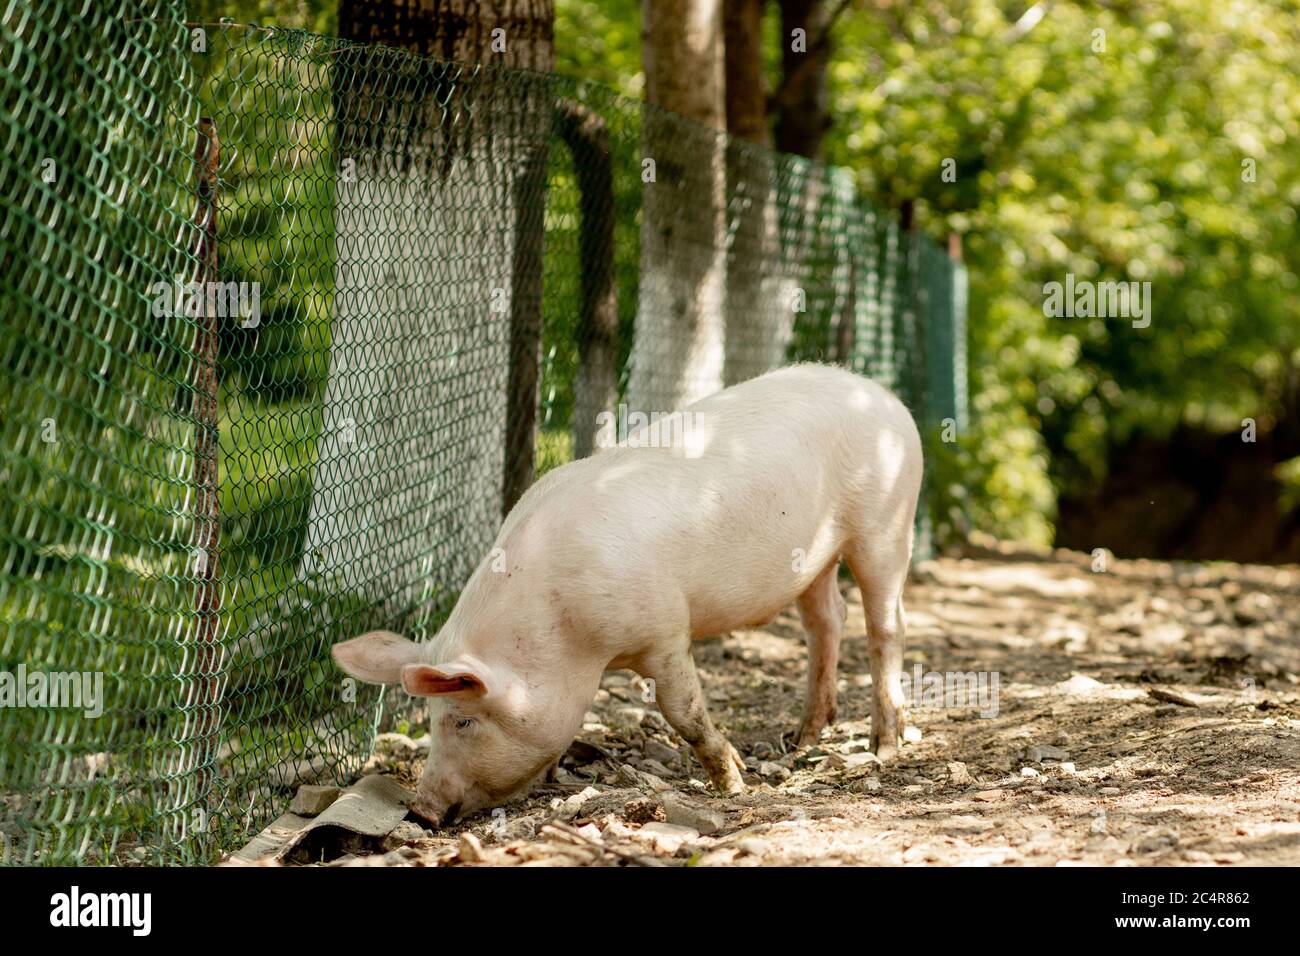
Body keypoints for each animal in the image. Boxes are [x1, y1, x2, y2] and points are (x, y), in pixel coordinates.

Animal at [332, 363, 923, 825]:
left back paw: (884, 746)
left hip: (887, 524)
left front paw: (734, 782)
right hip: (815, 559)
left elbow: (683, 712)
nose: (421, 811)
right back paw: (802, 738)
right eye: (431, 720)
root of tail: (885, 397)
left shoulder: (665, 631)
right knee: (828, 618)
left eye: (463, 720)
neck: (566, 634)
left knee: (886, 625)